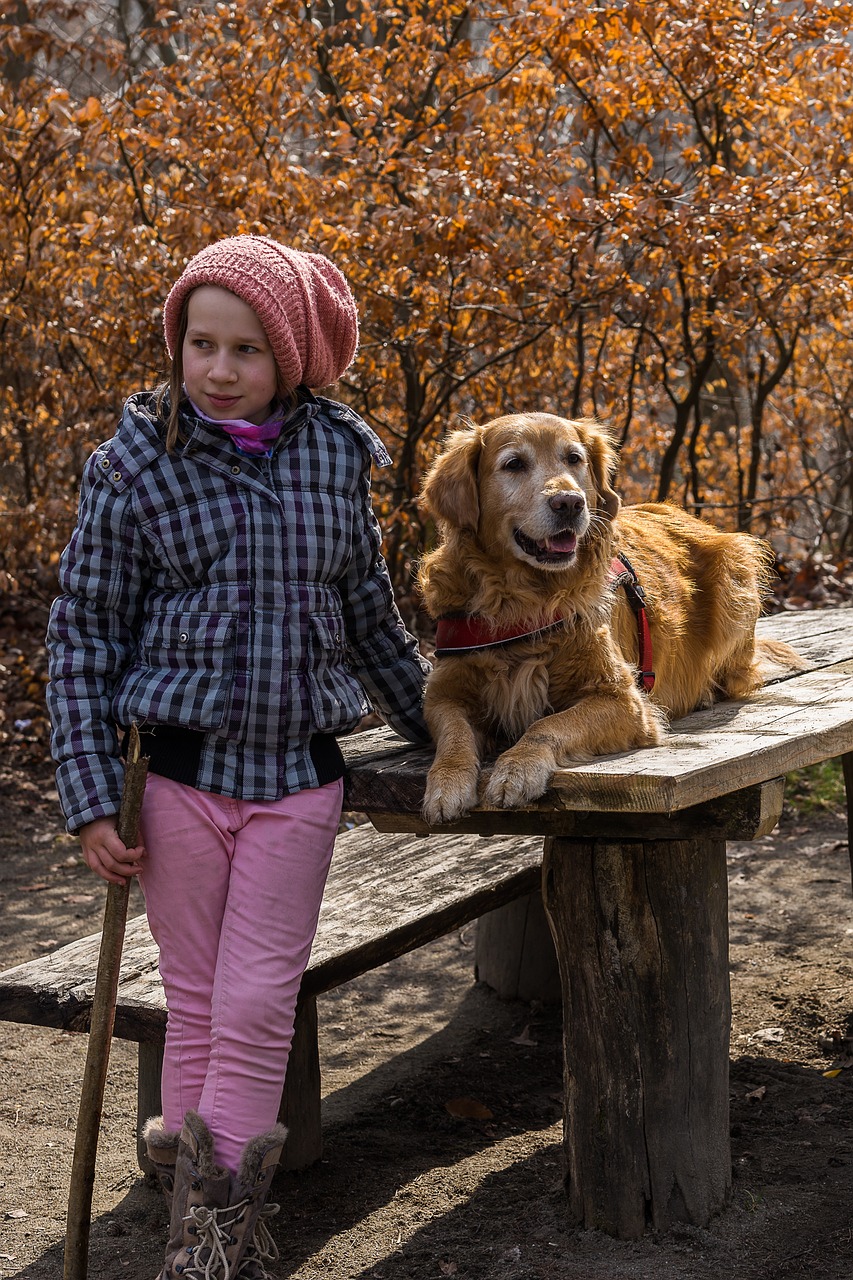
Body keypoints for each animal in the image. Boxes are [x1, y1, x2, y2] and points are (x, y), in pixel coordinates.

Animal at [414, 414, 799, 824]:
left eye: (573, 458)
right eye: (513, 464)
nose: (569, 502)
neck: (523, 601)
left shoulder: (622, 699)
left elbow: (545, 725)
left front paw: (517, 768)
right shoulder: (442, 695)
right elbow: (454, 736)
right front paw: (447, 784)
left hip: (735, 571)